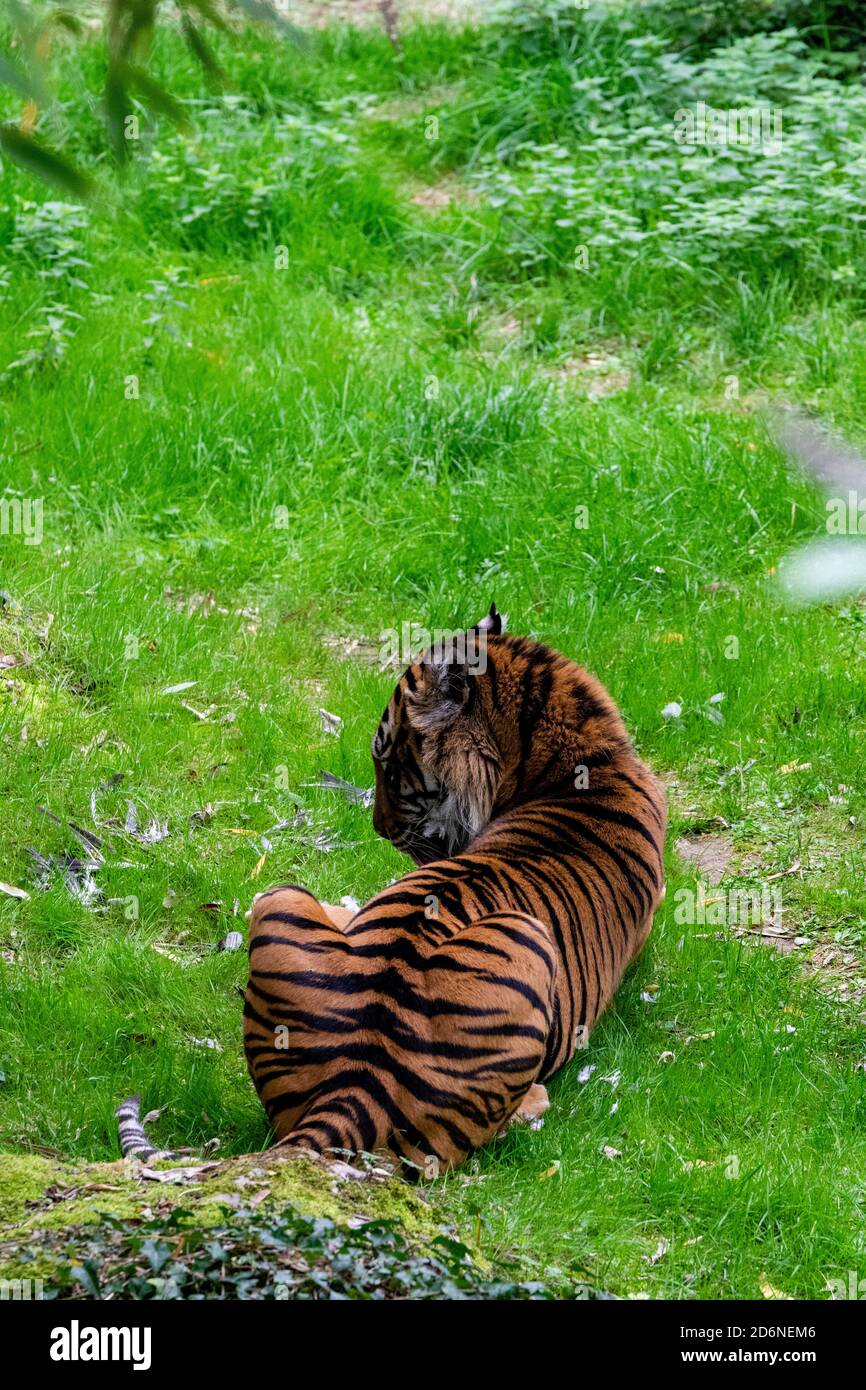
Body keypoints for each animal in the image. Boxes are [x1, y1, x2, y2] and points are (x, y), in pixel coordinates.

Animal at [244, 605, 666, 1174]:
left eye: (387, 764)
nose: (377, 828)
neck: (588, 759)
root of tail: (351, 1090)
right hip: (525, 934)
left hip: (281, 898)